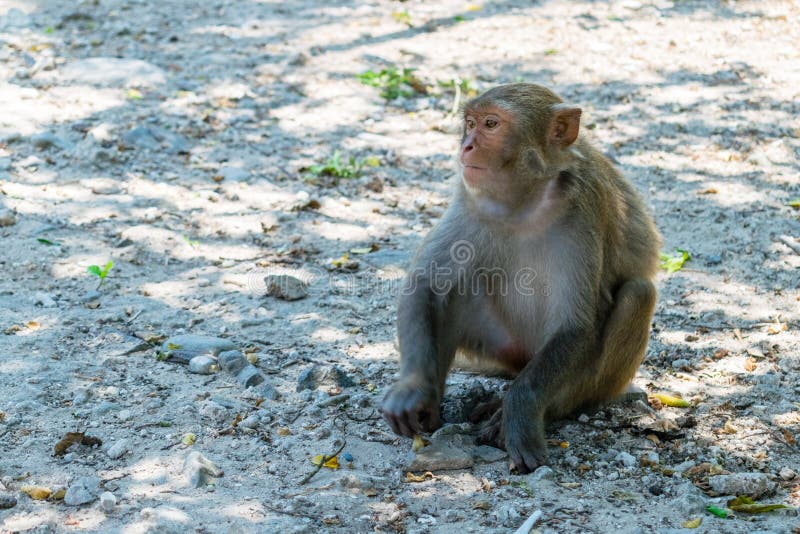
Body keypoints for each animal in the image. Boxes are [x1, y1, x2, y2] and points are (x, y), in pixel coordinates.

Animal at [381, 83, 661, 473]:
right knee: (457, 287)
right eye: (470, 123)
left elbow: (576, 325)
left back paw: (537, 409)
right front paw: (412, 389)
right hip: (502, 346)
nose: (466, 146)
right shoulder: (470, 200)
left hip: (591, 381)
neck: (525, 200)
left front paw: (518, 415)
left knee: (638, 293)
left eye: (492, 124)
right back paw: (434, 405)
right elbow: (425, 287)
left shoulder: (583, 208)